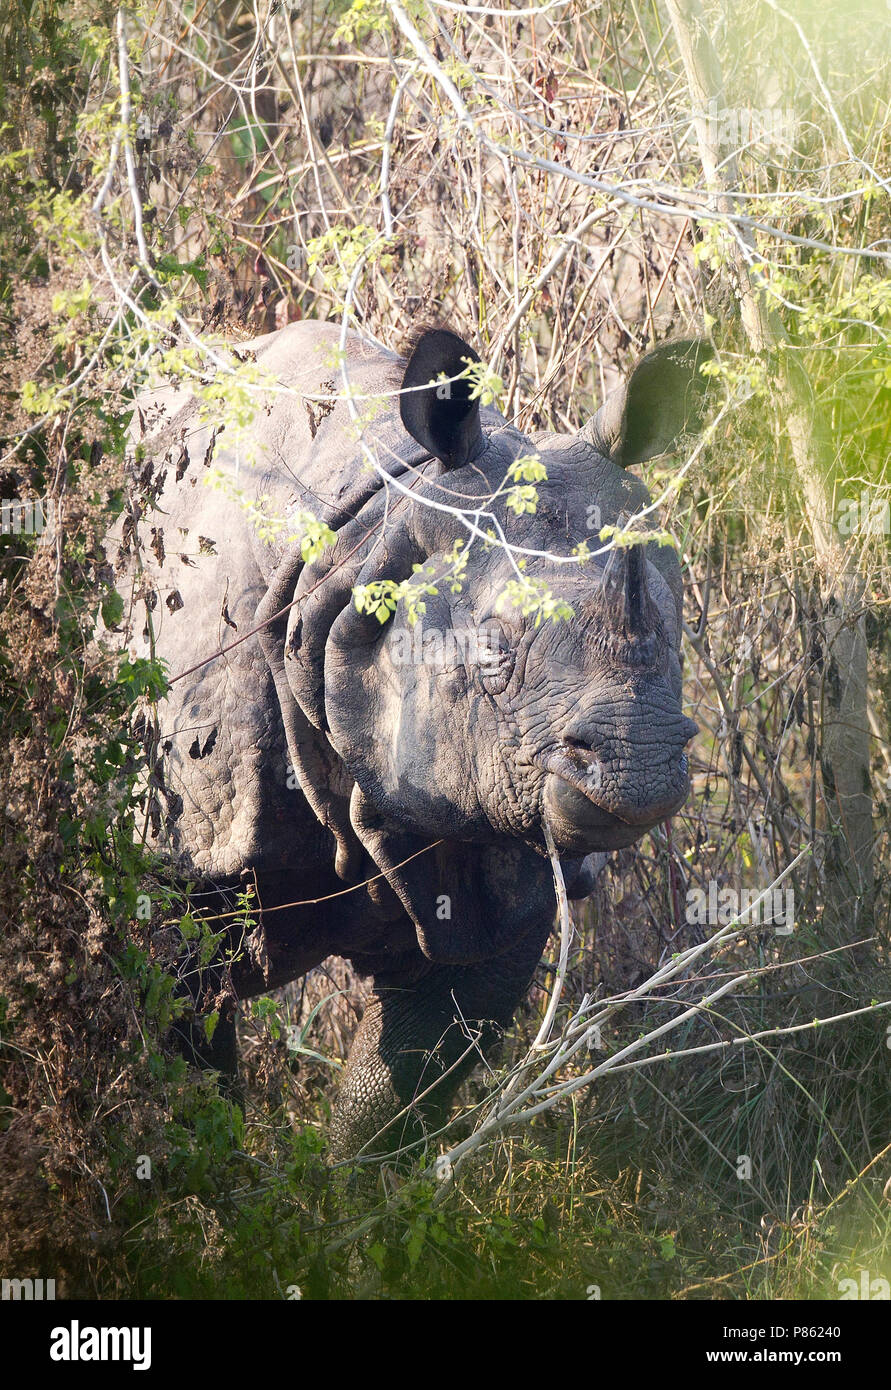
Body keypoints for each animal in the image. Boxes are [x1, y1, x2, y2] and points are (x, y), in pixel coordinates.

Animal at [109, 319, 708, 1160]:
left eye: (679, 631)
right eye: (492, 652)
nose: (641, 762)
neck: (366, 539)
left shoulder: (495, 828)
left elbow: (398, 1089)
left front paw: (347, 1191)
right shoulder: (178, 849)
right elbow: (182, 1053)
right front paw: (213, 1178)